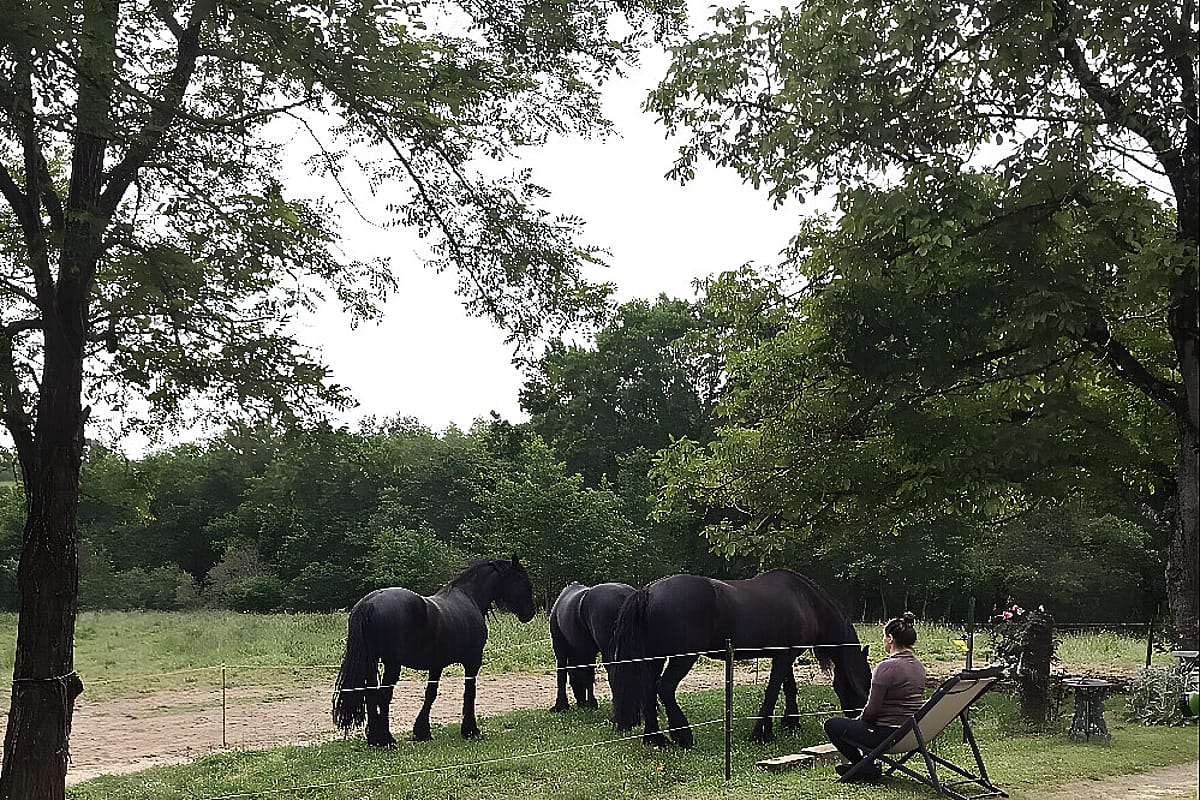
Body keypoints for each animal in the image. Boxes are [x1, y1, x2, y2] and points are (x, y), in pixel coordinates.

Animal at [332, 555, 536, 746]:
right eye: (522, 579)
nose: (530, 613)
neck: (469, 598)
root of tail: (369, 604)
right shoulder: (472, 662)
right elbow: (469, 692)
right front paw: (470, 730)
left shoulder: (436, 665)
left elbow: (430, 694)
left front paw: (422, 731)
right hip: (392, 665)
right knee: (383, 695)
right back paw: (387, 739)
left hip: (372, 661)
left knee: (371, 694)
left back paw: (375, 738)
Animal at [548, 581, 635, 712]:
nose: (581, 702)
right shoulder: (588, 652)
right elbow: (589, 675)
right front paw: (592, 703)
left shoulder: (559, 646)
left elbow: (561, 674)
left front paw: (560, 705)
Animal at [610, 569, 871, 748]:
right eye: (867, 683)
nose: (858, 718)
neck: (805, 601)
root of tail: (648, 591)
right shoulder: (783, 657)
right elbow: (772, 692)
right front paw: (762, 734)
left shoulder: (784, 656)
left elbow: (789, 688)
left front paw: (790, 723)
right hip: (681, 658)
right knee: (664, 688)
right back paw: (683, 735)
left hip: (655, 658)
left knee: (648, 690)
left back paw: (655, 739)